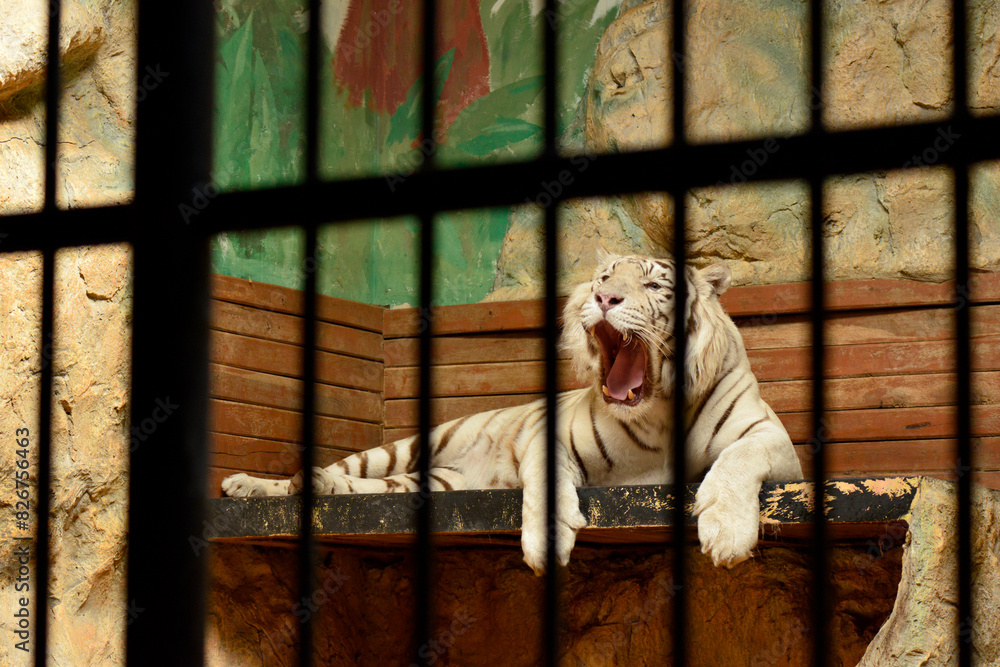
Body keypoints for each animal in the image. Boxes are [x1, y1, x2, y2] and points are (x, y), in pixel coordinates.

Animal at [222, 252, 804, 573]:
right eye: (605, 277)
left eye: (654, 285)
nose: (604, 298)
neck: (657, 411)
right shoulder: (550, 440)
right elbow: (544, 484)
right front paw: (546, 542)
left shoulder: (771, 440)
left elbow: (734, 461)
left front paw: (725, 532)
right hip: (409, 447)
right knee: (338, 472)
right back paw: (252, 485)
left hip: (429, 483)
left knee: (357, 489)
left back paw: (307, 485)